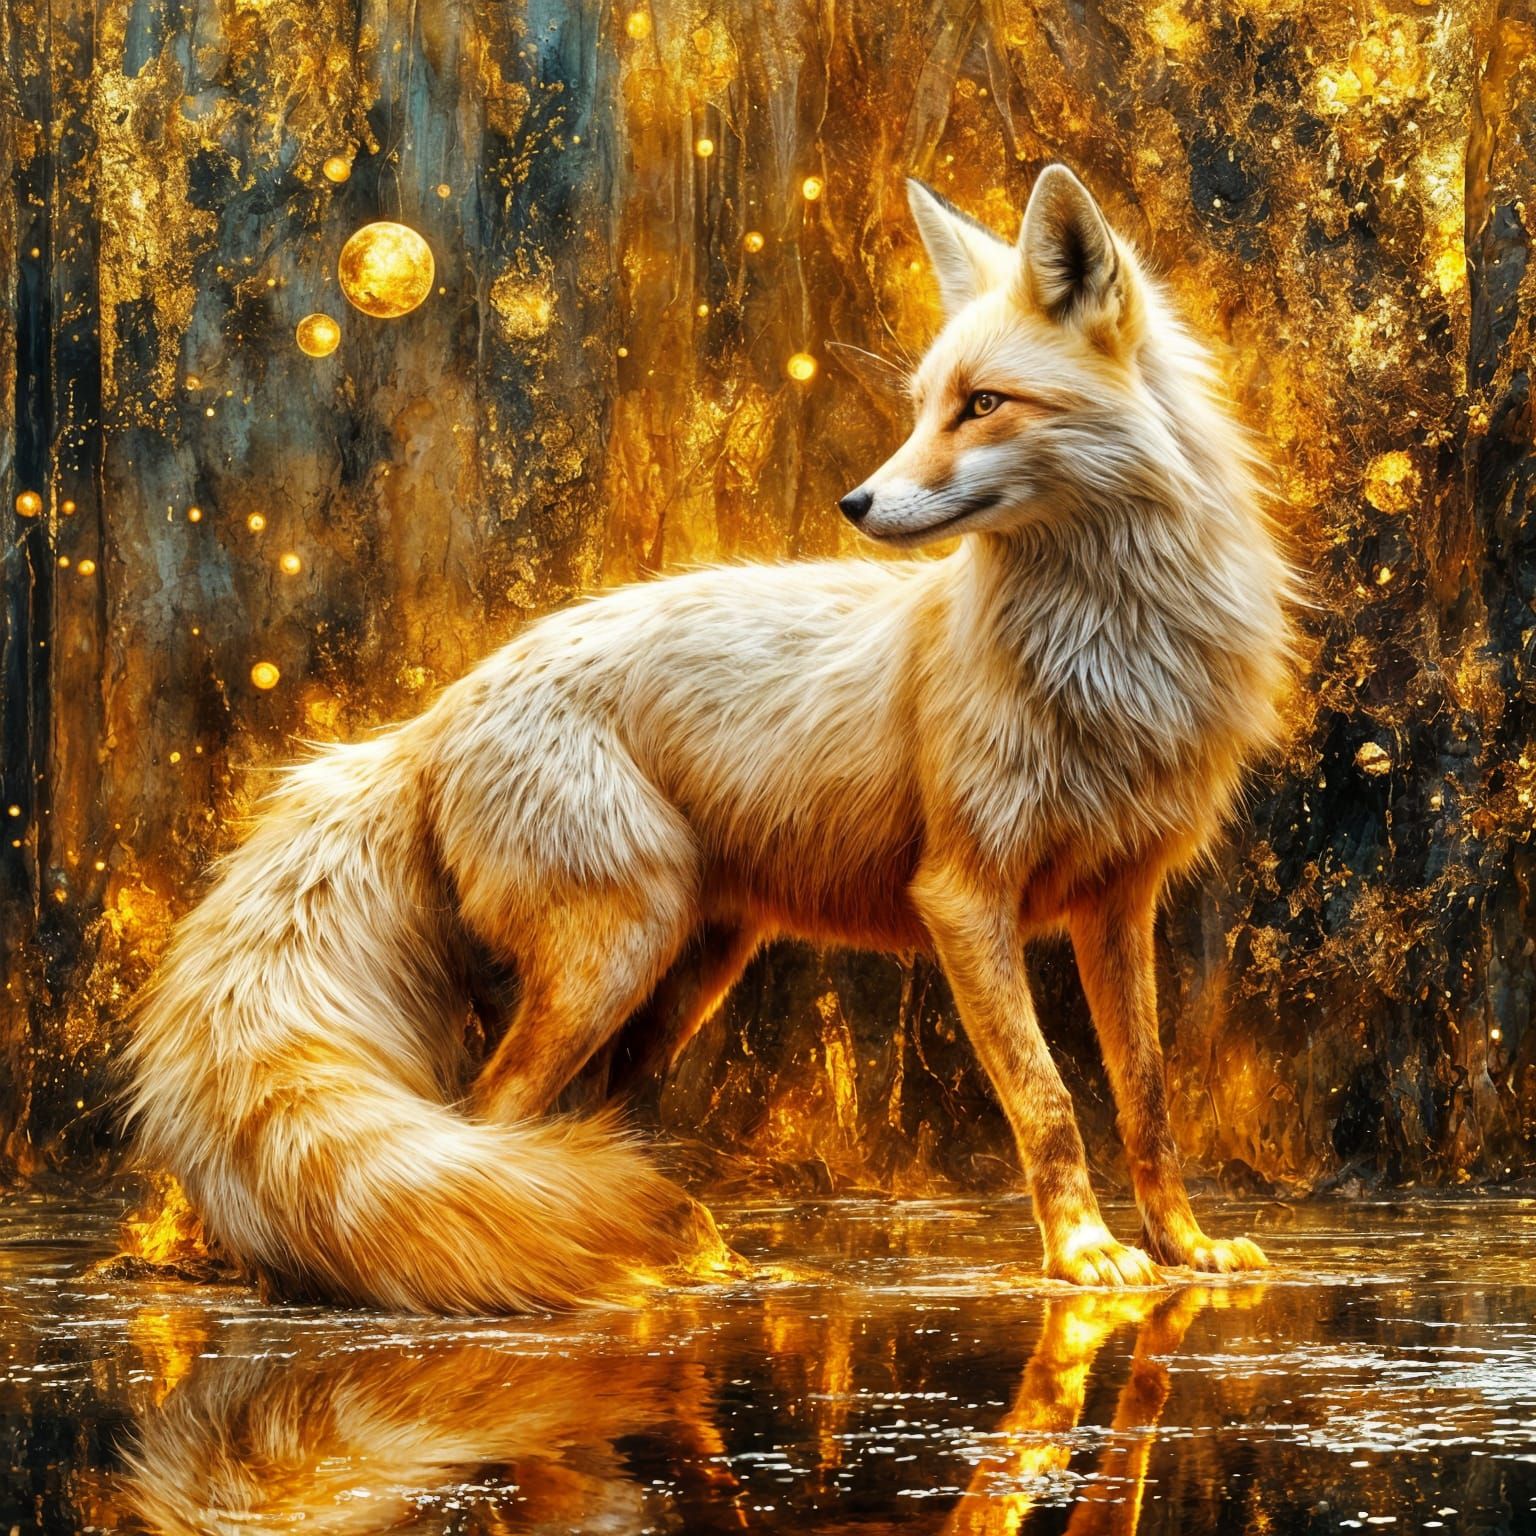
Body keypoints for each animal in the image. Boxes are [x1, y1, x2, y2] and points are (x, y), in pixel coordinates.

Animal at [123, 162, 1293, 1313]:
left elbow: (1148, 1100)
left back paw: (661, 1246)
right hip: (618, 945)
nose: (856, 501)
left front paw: (1184, 1245)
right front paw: (1085, 1252)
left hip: (687, 972)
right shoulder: (965, 896)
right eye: (924, 408)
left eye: (984, 405)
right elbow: (1047, 1101)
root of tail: (428, 720)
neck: (1106, 659)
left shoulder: (1120, 904)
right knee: (493, 1114)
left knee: (589, 1121)